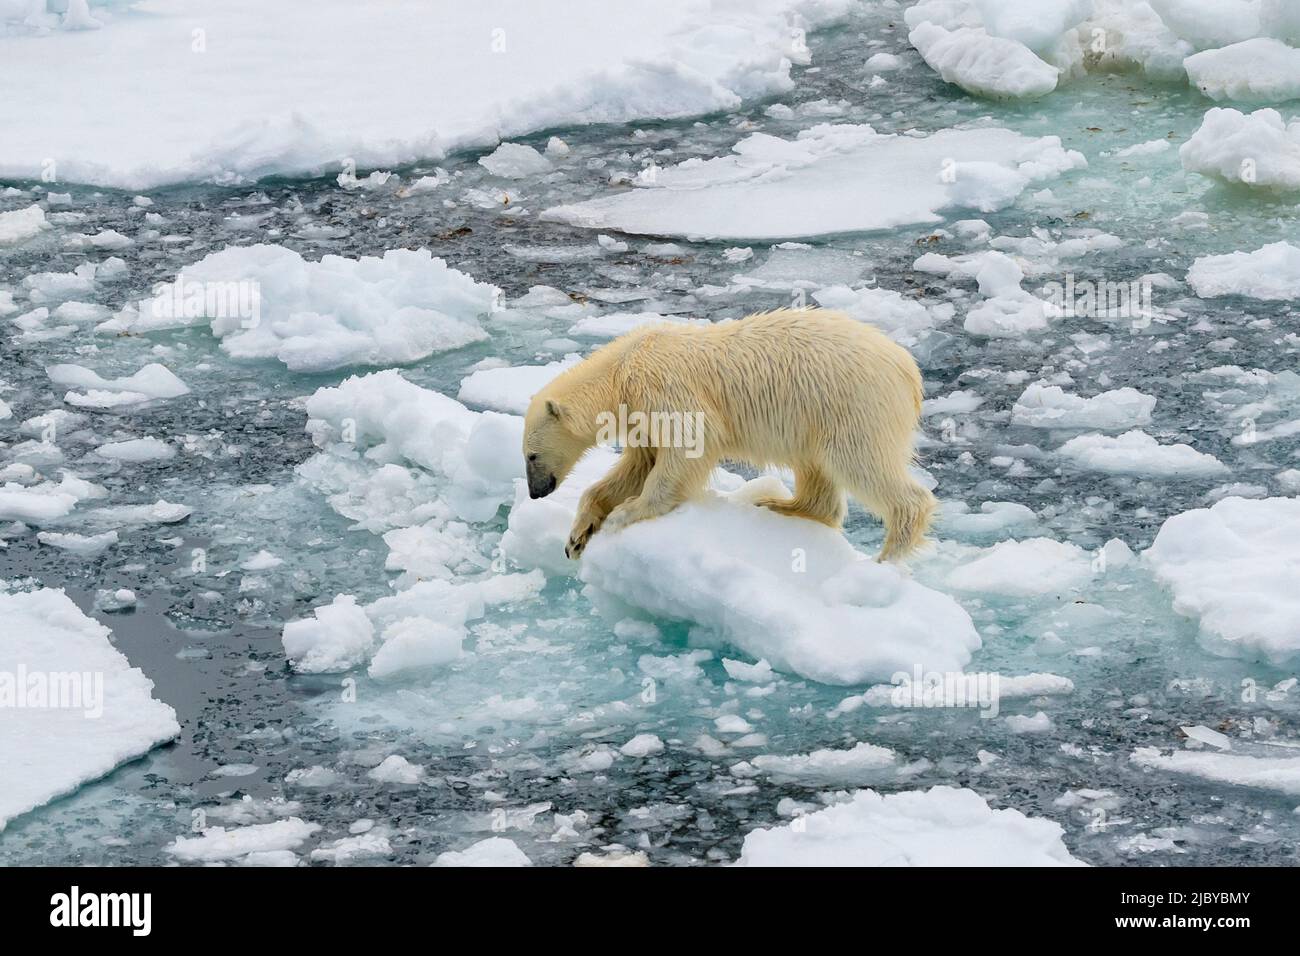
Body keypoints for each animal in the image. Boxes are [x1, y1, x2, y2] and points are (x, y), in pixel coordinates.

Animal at [521, 307, 936, 562]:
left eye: (531, 455)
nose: (536, 492)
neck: (622, 368)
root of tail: (908, 369)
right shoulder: (642, 413)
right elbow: (638, 465)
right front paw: (578, 535)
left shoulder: (662, 386)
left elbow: (688, 444)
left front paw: (626, 513)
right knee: (816, 468)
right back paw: (779, 504)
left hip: (851, 404)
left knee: (859, 462)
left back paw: (889, 553)